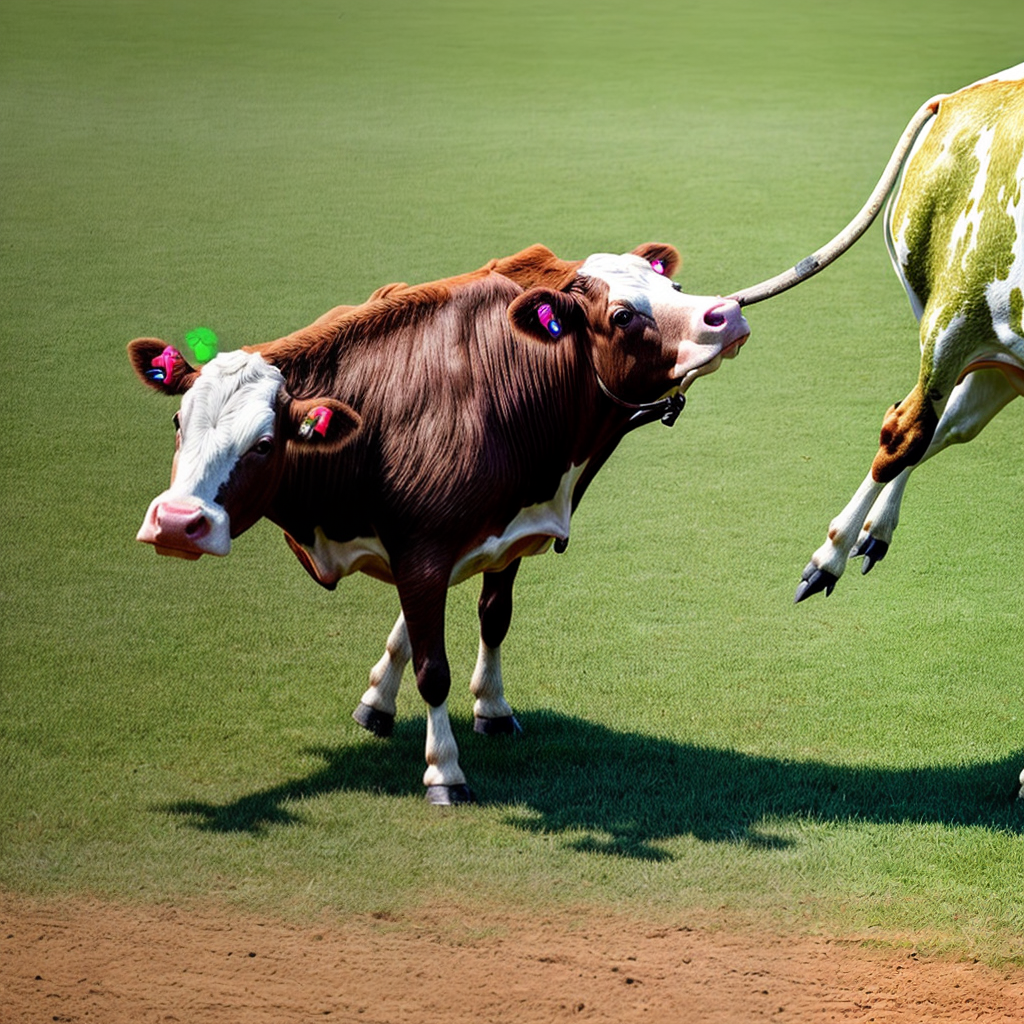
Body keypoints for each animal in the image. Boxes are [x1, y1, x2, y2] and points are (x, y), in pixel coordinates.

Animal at [129, 243, 750, 803]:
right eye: (178, 420)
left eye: (263, 442)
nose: (178, 522)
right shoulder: (426, 550)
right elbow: (433, 665)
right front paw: (443, 769)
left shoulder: (496, 531)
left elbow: (489, 620)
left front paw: (486, 711)